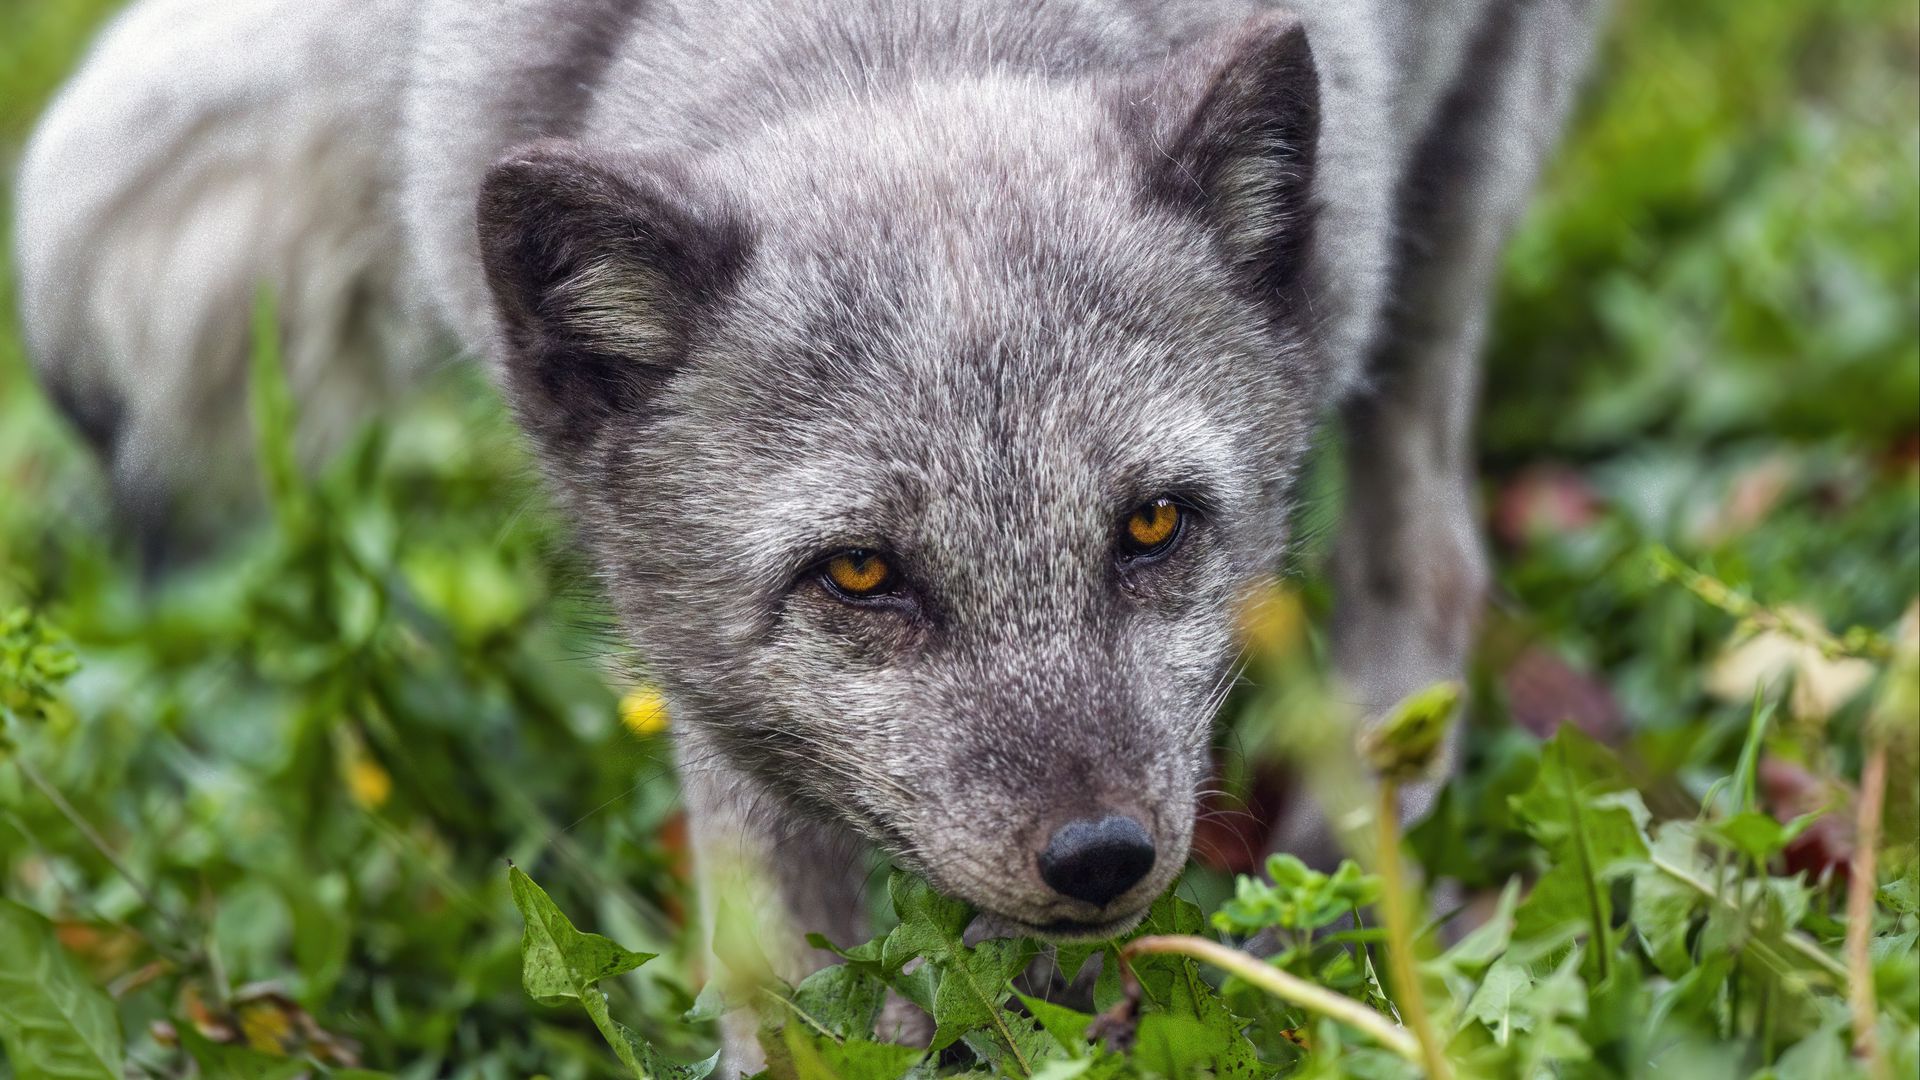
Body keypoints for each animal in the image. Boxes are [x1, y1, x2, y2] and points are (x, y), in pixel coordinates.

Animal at [14, 0, 1605, 1067]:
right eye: (860, 573)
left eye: (1151, 524)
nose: (1100, 858)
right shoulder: (715, 696)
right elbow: (781, 954)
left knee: (1430, 557)